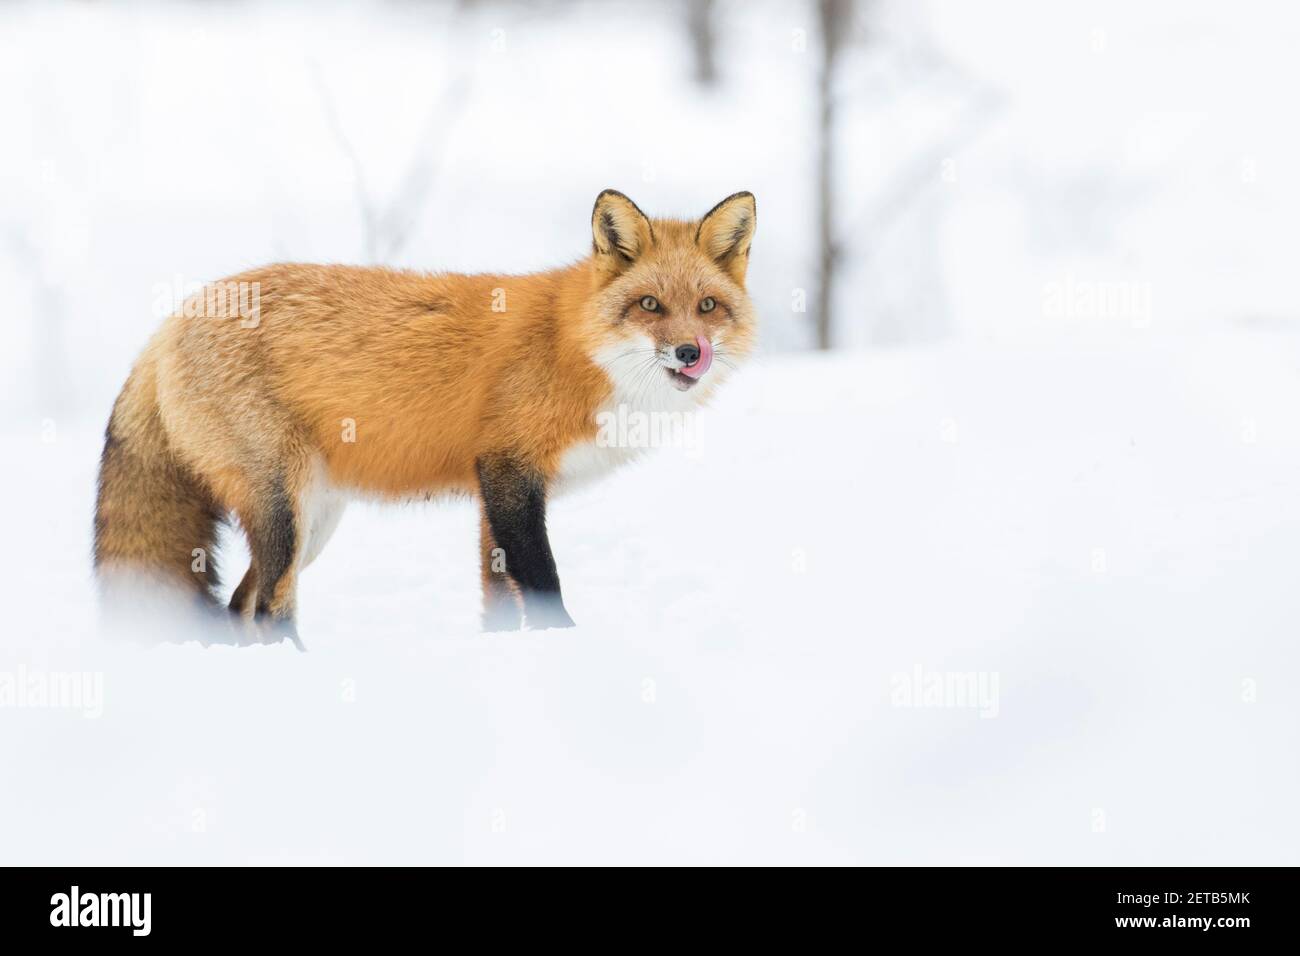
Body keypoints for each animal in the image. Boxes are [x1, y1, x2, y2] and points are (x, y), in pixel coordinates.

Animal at [94, 189, 757, 637]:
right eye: (649, 305)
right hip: (285, 512)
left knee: (241, 608)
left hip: (314, 520)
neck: (576, 351)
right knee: (270, 610)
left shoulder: (496, 488)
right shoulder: (511, 472)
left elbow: (499, 599)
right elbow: (544, 583)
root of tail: (169, 321)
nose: (690, 352)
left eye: (707, 306)